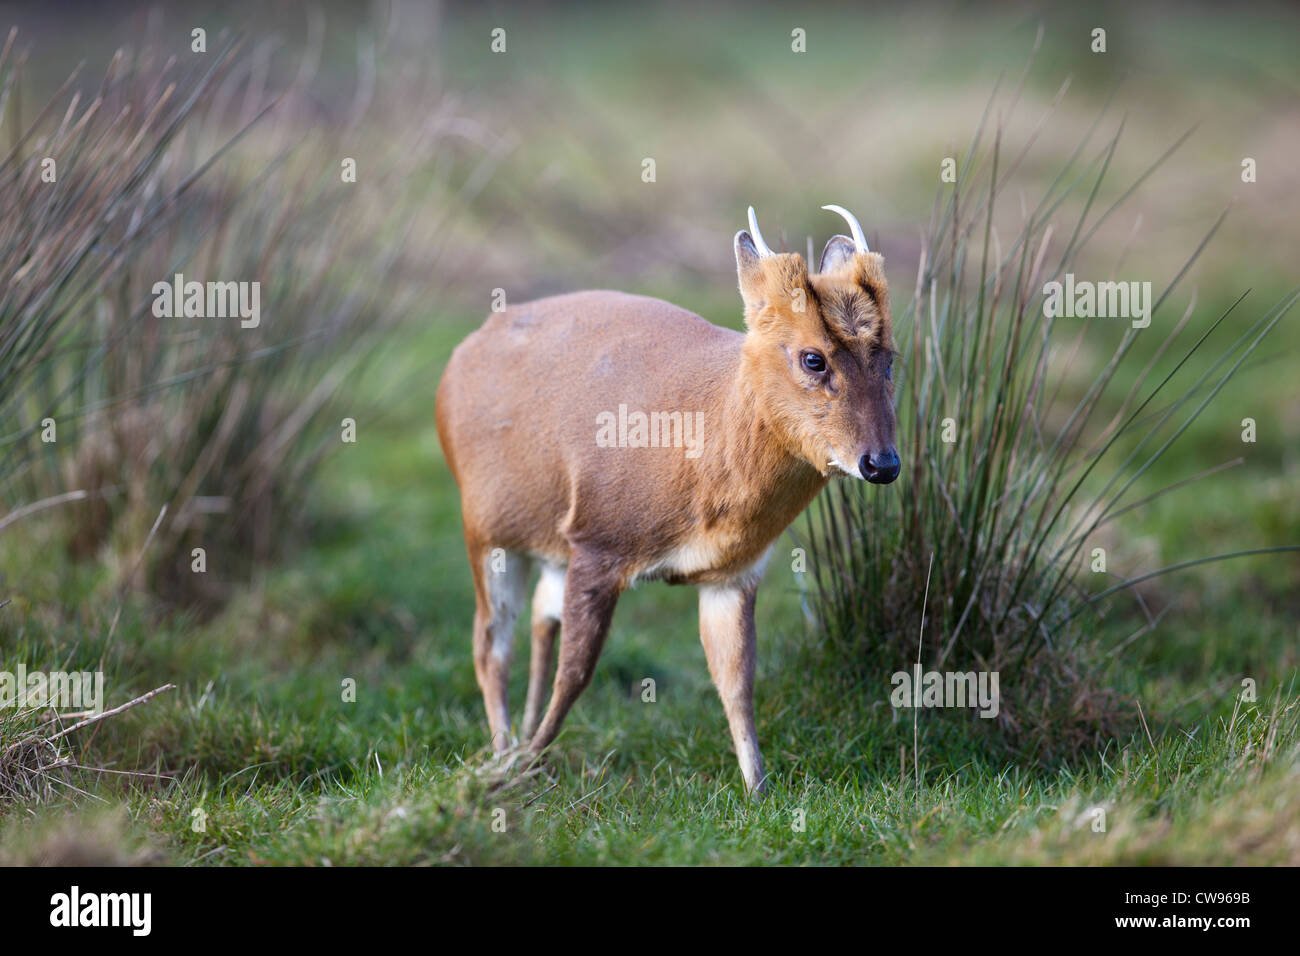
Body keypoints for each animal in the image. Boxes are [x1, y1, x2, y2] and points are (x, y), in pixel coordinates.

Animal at [435, 205, 899, 797]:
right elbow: (577, 672)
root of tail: (458, 358)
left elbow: (737, 683)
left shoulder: (733, 573)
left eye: (889, 358)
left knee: (538, 616)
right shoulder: (599, 540)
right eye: (813, 359)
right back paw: (504, 755)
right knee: (490, 642)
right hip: (484, 528)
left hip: (546, 544)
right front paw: (518, 772)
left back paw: (518, 748)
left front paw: (758, 791)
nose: (882, 464)